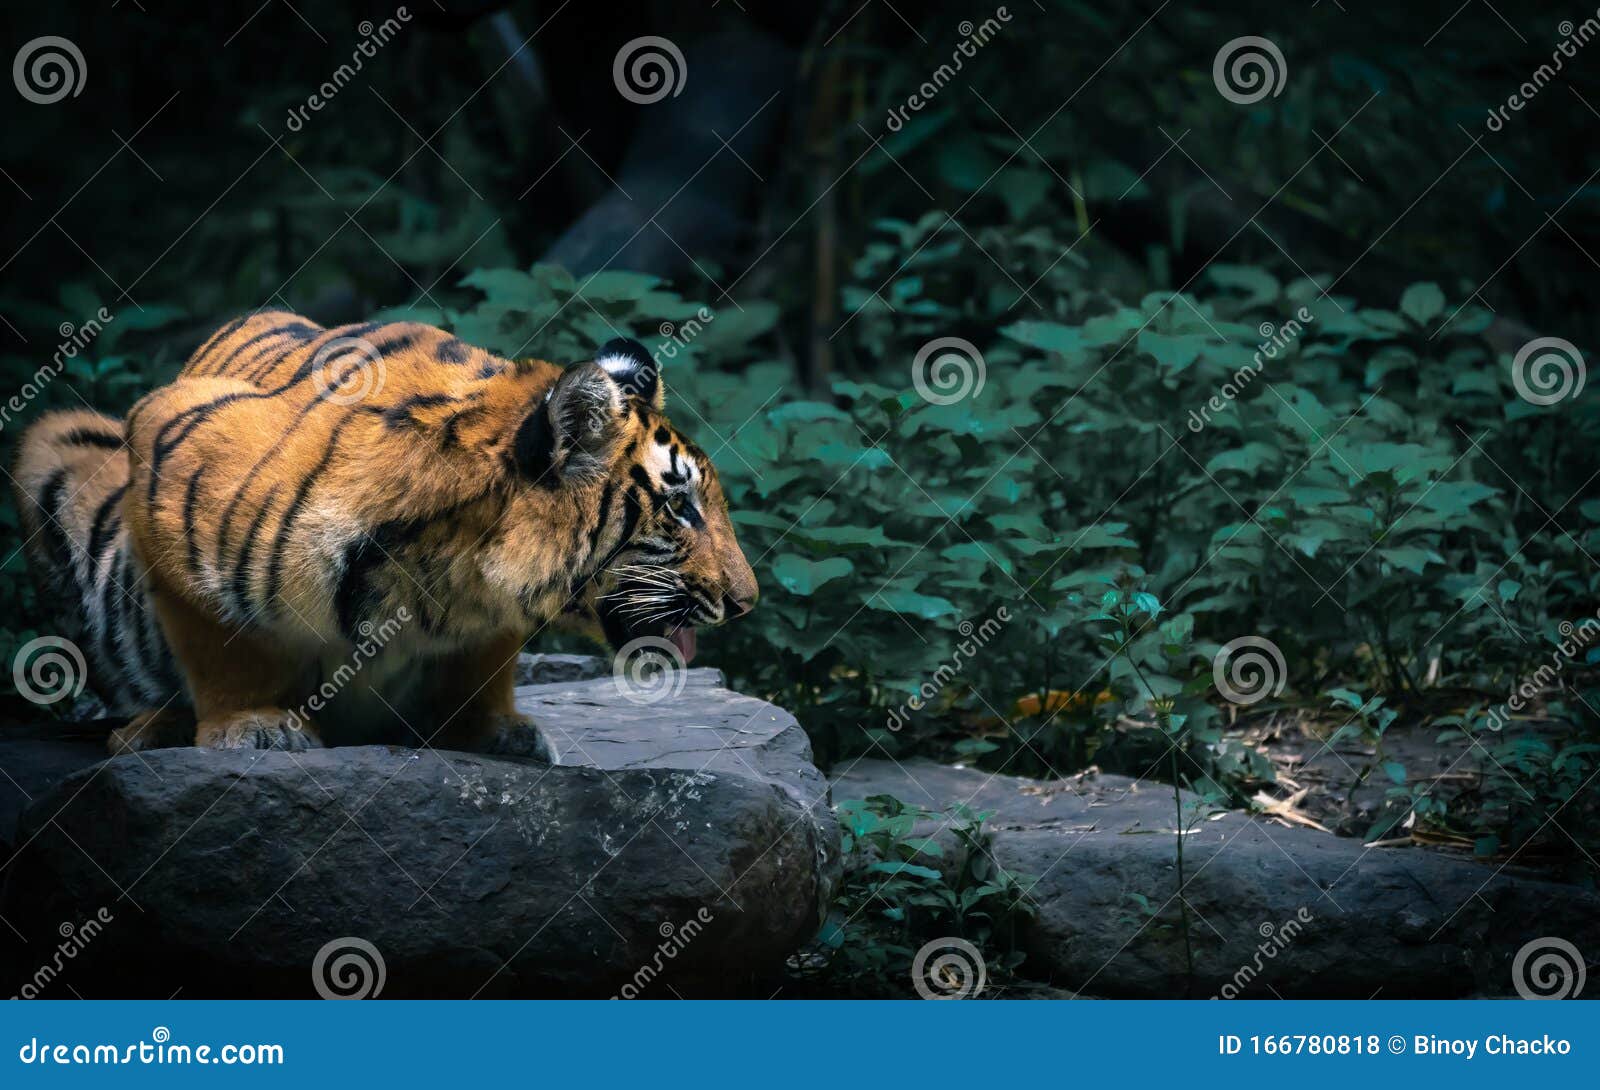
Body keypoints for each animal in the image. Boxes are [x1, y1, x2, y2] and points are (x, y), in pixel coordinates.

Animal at [11, 311, 758, 756]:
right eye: (681, 507)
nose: (747, 601)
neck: (455, 569)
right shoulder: (169, 448)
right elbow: (222, 642)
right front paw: (253, 725)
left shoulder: (494, 612)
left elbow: (484, 662)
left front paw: (493, 730)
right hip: (55, 445)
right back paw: (148, 728)